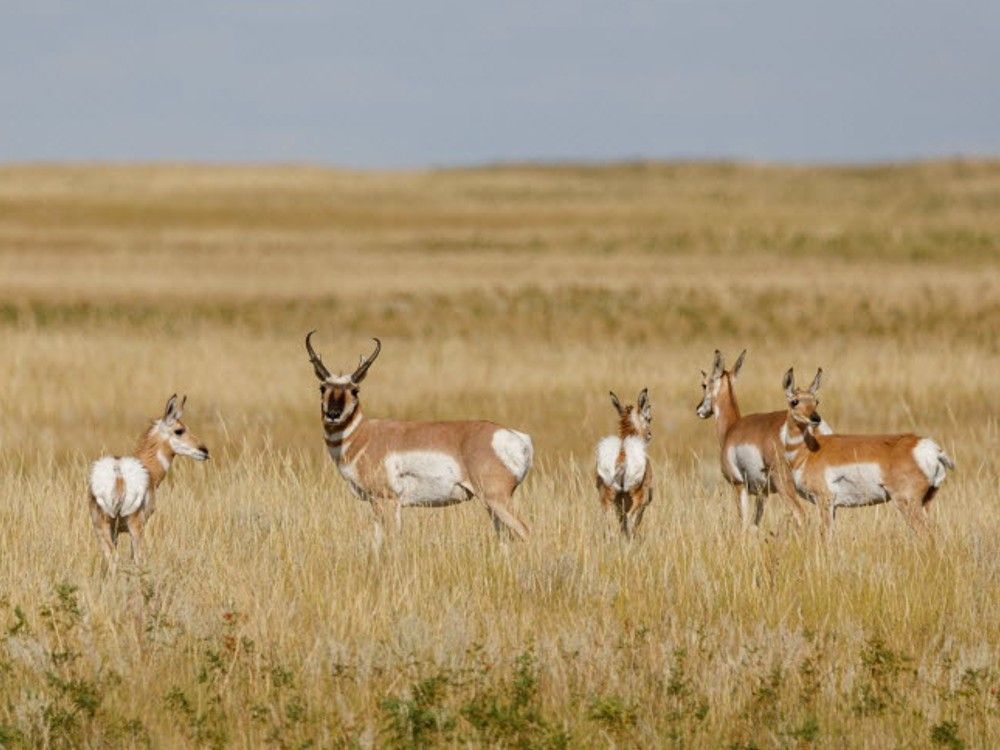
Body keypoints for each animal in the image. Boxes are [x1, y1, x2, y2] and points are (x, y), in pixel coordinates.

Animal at [88, 395, 209, 572]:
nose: (204, 450)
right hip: (134, 525)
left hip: (101, 524)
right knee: (137, 557)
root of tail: (118, 474)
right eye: (179, 430)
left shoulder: (114, 530)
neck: (148, 469)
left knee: (111, 557)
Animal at [305, 332, 534, 544]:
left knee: (526, 530)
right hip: (491, 505)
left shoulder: (386, 500)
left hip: (497, 499)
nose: (333, 414)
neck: (364, 434)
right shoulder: (378, 502)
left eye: (355, 390)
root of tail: (519, 438)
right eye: (322, 387)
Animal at [595, 389, 653, 538]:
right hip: (636, 498)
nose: (649, 434)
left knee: (609, 522)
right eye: (649, 418)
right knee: (630, 519)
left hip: (608, 499)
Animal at [696, 349, 832, 528]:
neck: (732, 428)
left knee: (801, 515)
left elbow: (743, 524)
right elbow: (755, 524)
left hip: (786, 486)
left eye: (704, 384)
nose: (699, 410)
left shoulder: (739, 485)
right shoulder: (763, 494)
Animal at [780, 367, 954, 536]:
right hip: (926, 502)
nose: (815, 418)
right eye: (794, 402)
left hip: (907, 503)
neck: (807, 452)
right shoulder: (833, 506)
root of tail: (930, 449)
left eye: (816, 401)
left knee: (926, 533)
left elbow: (825, 536)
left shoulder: (825, 501)